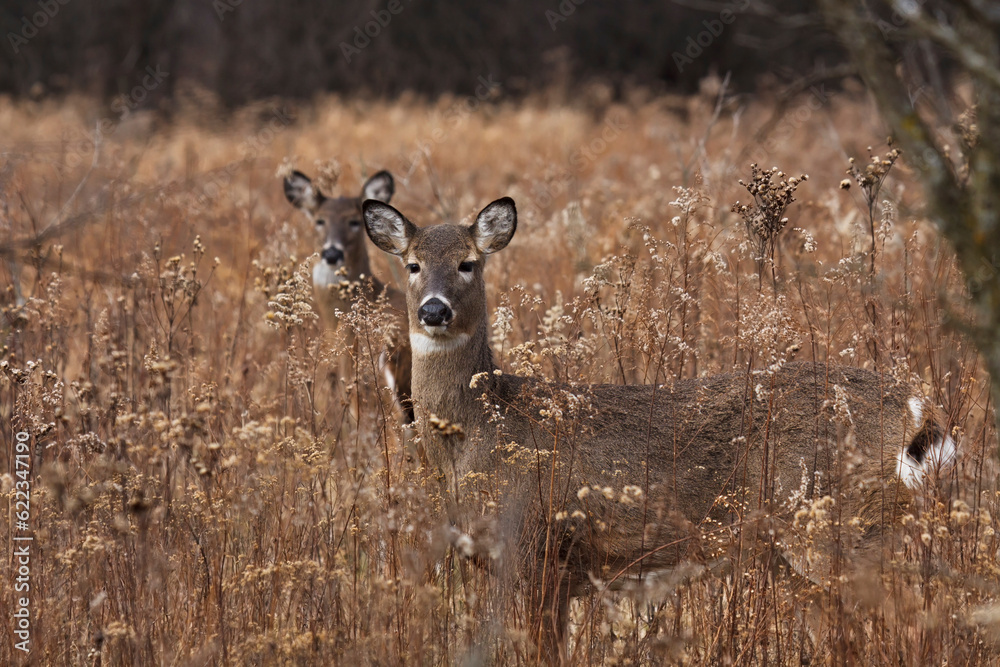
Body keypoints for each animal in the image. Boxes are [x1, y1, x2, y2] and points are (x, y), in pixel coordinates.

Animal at [362, 195, 957, 663]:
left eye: (468, 263)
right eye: (412, 264)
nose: (434, 311)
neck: (478, 431)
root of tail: (917, 407)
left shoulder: (533, 551)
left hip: (843, 523)